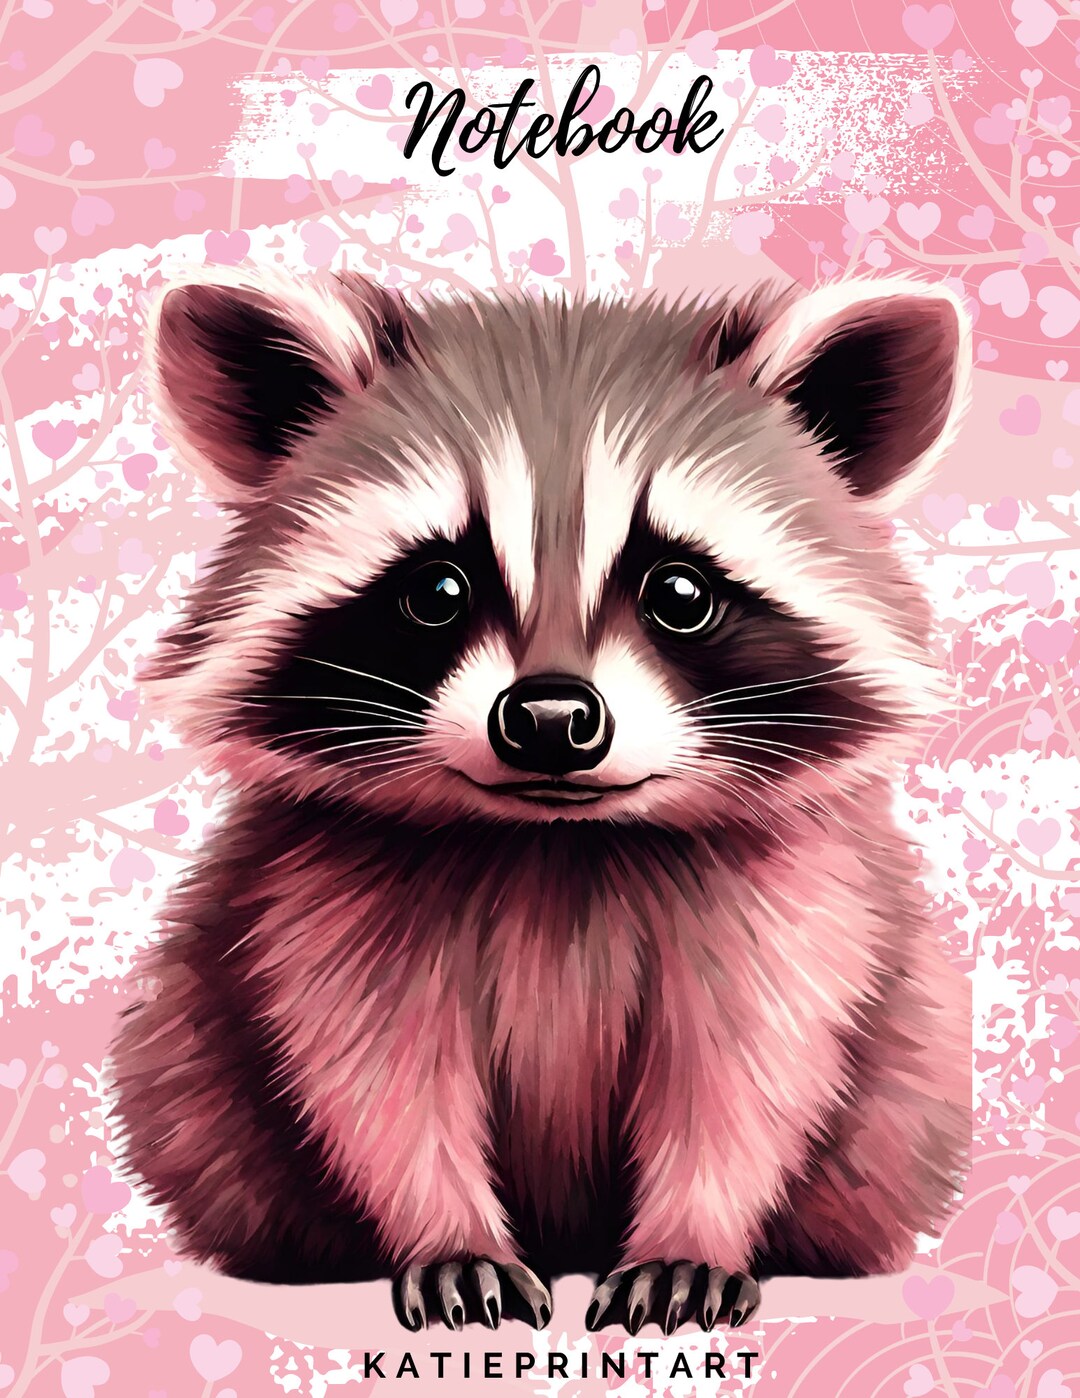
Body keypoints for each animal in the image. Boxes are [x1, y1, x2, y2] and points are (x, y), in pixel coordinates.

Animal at [110, 268, 971, 1335]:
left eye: (679, 592)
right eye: (436, 589)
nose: (553, 719)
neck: (558, 842)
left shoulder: (790, 904)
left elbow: (748, 1073)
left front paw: (694, 1231)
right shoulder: (318, 901)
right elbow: (371, 1074)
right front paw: (446, 1232)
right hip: (189, 1088)